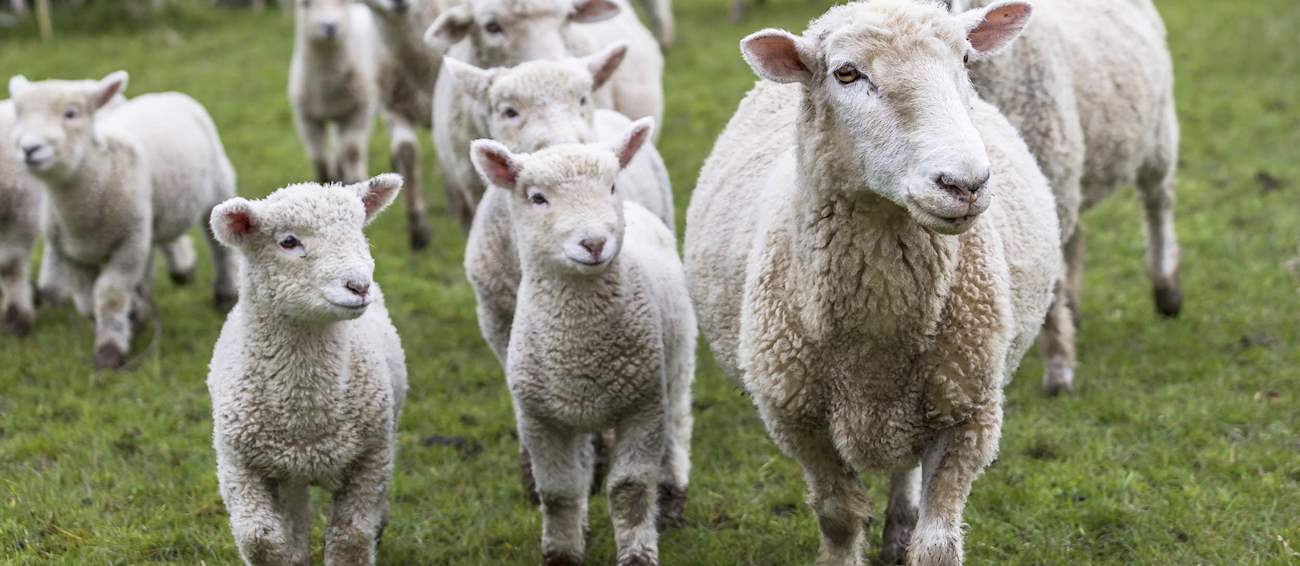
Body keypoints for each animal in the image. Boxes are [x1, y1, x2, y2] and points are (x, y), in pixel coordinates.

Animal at [8, 71, 239, 369]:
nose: (29, 149)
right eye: (19, 114)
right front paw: (131, 318)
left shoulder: (128, 244)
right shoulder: (74, 255)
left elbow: (110, 295)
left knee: (220, 251)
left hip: (218, 187)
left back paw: (224, 295)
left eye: (71, 113)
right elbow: (88, 302)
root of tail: (164, 95)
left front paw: (110, 352)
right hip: (149, 220)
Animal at [206, 174, 408, 566]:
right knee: (294, 519)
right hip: (288, 474)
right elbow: (260, 538)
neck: (305, 417)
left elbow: (350, 539)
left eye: (358, 229)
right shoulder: (237, 464)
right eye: (288, 241)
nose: (359, 286)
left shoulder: (371, 458)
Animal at [290, 0, 378, 185]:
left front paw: (355, 179)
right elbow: (318, 155)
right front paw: (325, 179)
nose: (330, 26)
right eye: (305, 4)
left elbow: (352, 149)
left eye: (342, 2)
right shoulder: (307, 117)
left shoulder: (358, 109)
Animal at [469, 118, 695, 566]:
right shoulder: (541, 418)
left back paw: (672, 497)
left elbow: (630, 489)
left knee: (679, 422)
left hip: (677, 360)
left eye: (611, 187)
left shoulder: (643, 408)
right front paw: (563, 551)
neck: (580, 343)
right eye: (537, 198)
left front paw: (638, 554)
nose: (593, 243)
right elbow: (558, 493)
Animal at [683, 2, 1061, 564]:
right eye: (846, 73)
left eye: (965, 59)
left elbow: (938, 544)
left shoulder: (967, 414)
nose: (964, 184)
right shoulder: (799, 422)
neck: (875, 346)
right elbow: (838, 516)